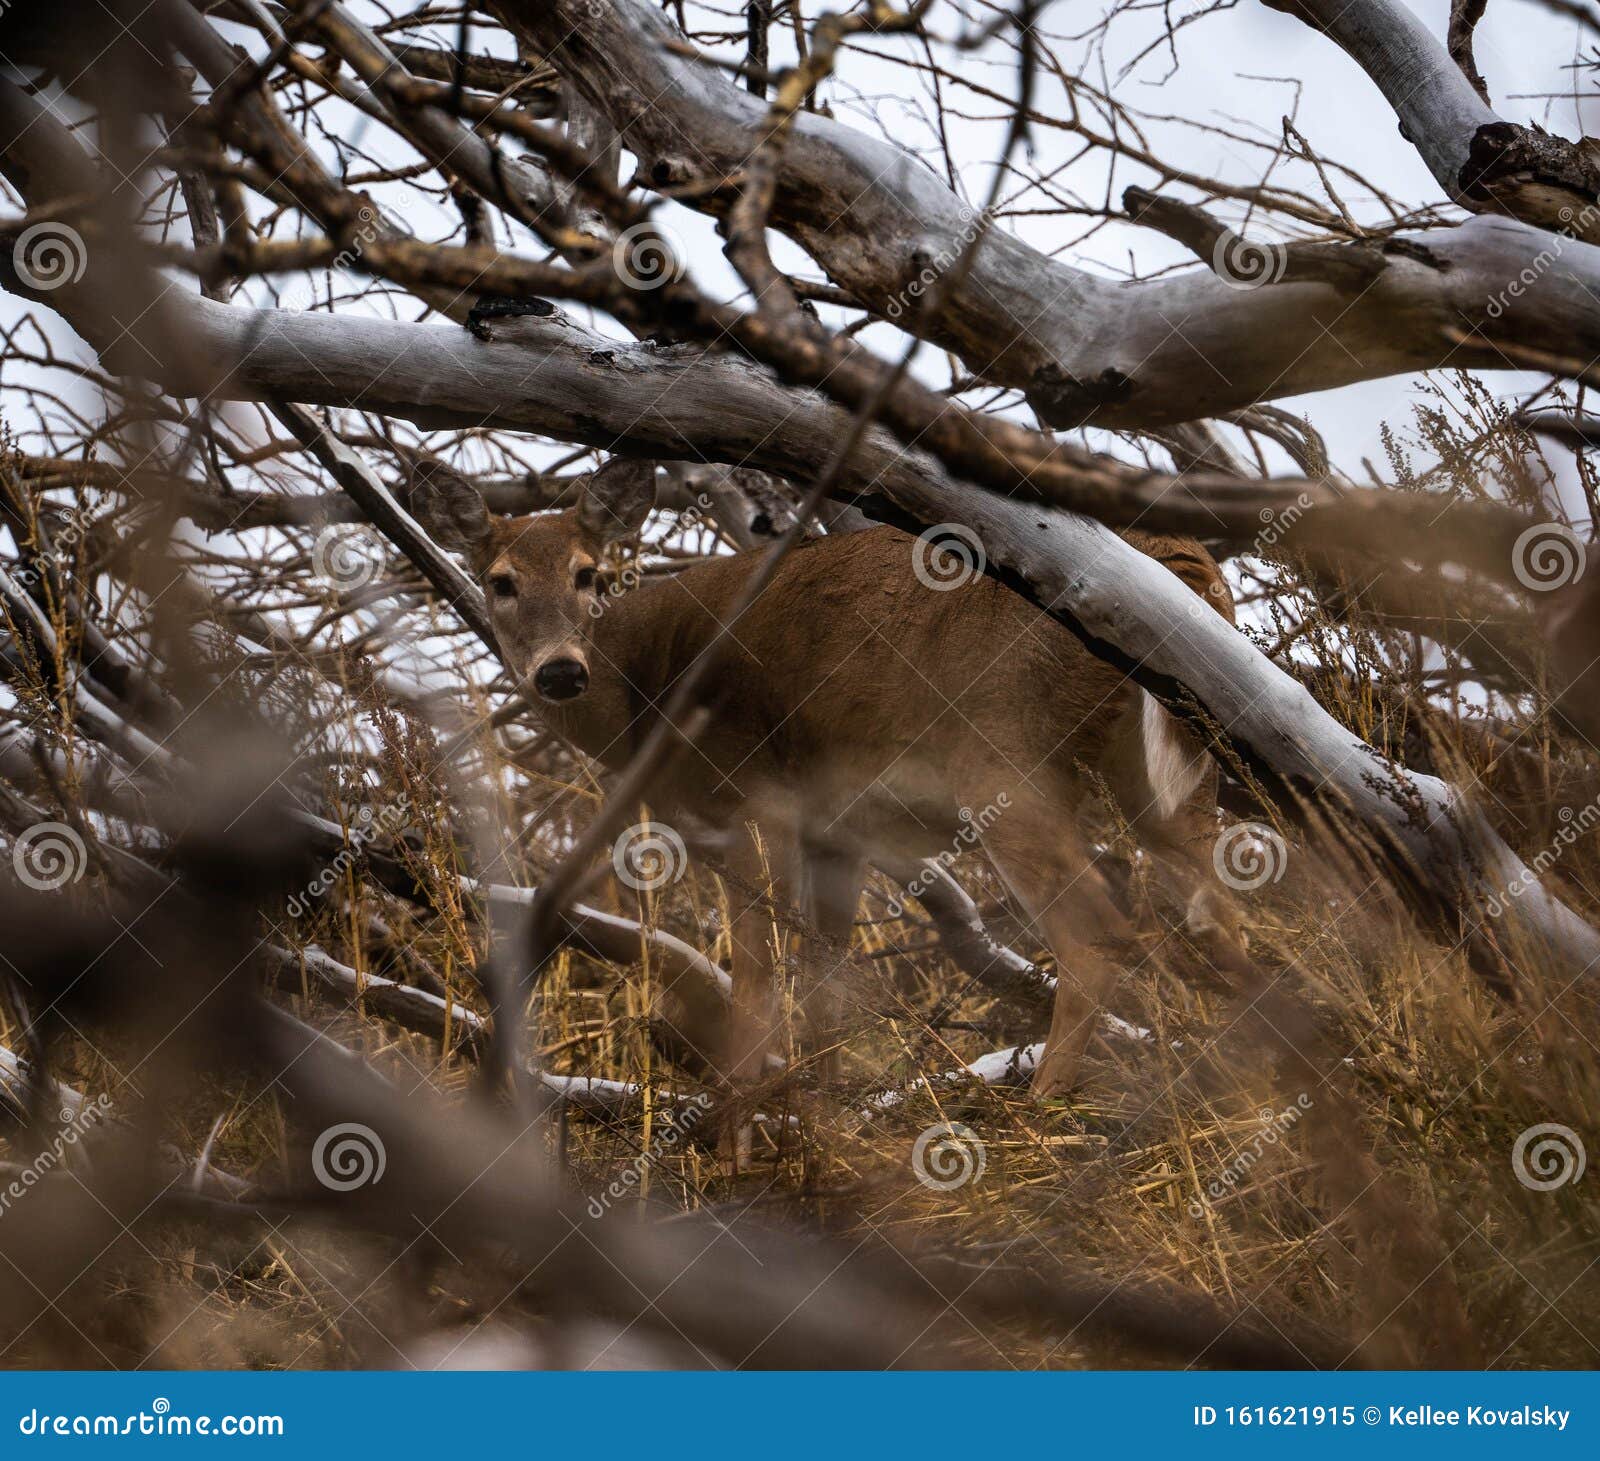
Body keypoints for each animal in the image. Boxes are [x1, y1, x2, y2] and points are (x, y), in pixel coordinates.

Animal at [412, 455, 1239, 1146]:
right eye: (500, 580)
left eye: (588, 573)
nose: (560, 671)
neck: (652, 688)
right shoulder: (835, 831)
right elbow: (825, 985)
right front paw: (827, 1119)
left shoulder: (753, 802)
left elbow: (756, 981)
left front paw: (738, 1143)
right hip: (1163, 769)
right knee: (1220, 908)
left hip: (1006, 759)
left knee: (1098, 933)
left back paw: (1043, 1111)